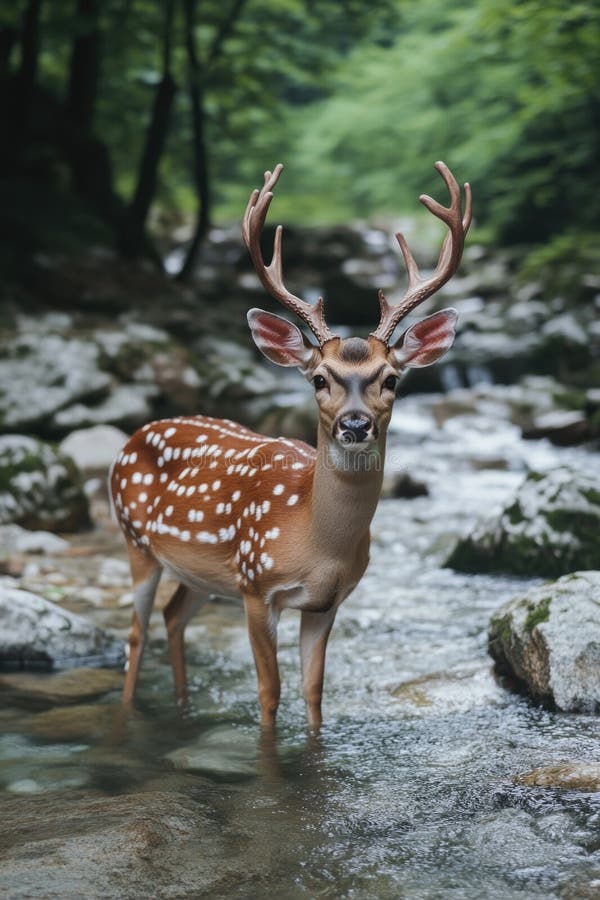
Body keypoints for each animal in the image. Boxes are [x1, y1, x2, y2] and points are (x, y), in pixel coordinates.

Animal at [110, 161, 471, 729]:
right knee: (136, 632)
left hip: (200, 573)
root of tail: (133, 438)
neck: (317, 543)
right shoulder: (256, 586)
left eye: (391, 379)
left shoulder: (328, 602)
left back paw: (184, 707)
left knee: (172, 618)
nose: (354, 424)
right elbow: (269, 692)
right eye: (320, 378)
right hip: (136, 542)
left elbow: (313, 691)